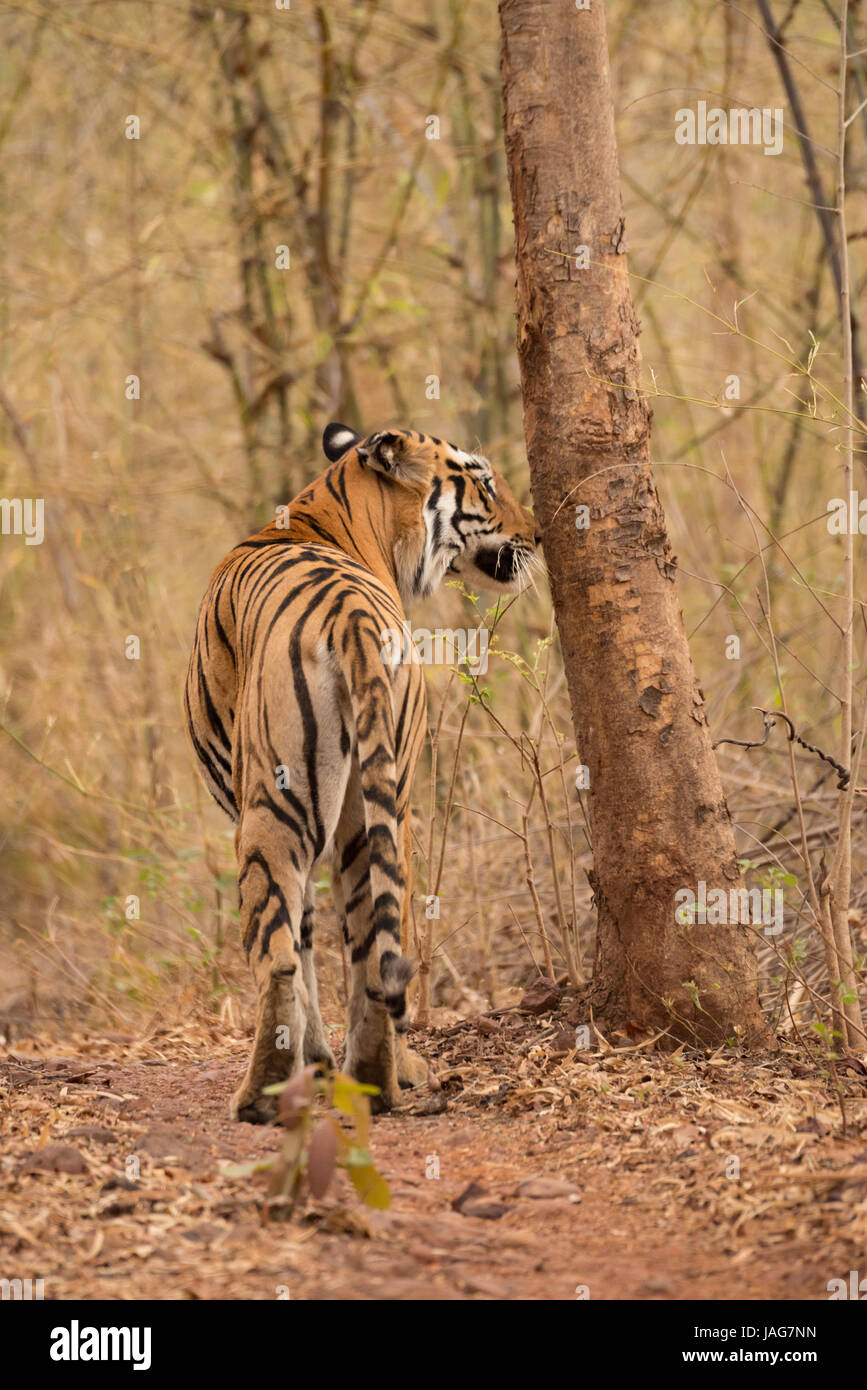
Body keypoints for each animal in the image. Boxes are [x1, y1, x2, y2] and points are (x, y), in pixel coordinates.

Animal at [185, 423, 538, 1122]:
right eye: (485, 484)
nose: (538, 535)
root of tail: (349, 615)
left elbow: (304, 941)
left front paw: (316, 1061)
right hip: (377, 804)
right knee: (372, 945)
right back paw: (375, 1079)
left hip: (280, 809)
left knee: (284, 957)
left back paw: (269, 1092)